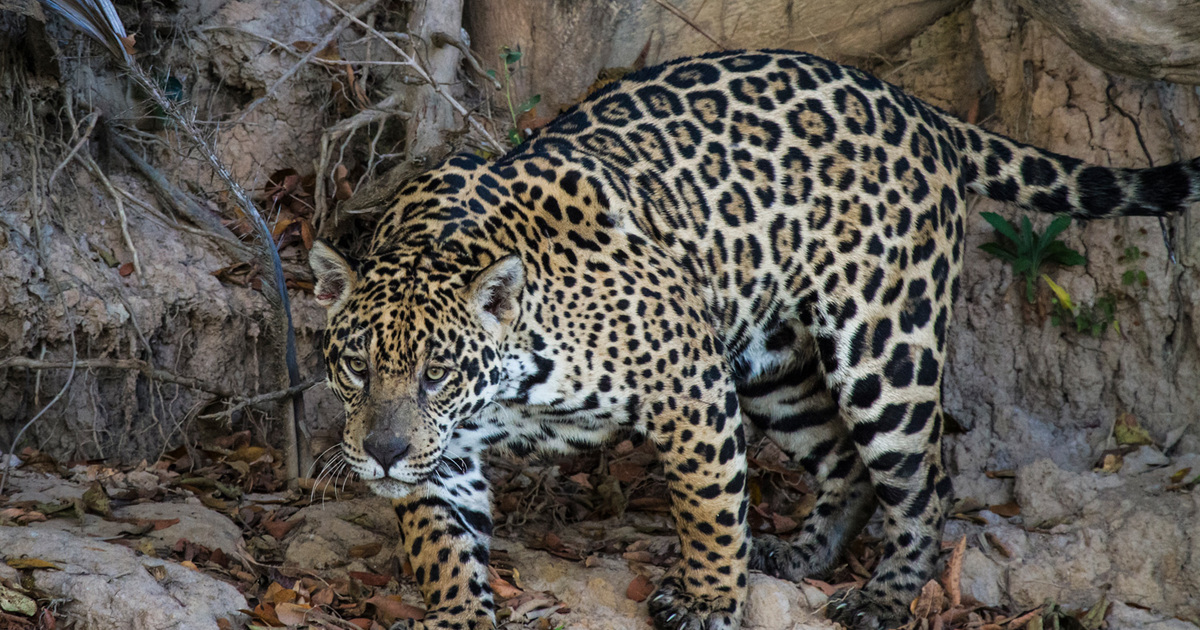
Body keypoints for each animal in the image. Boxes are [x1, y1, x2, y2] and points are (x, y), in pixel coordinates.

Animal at [309, 49, 1199, 630]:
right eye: (356, 365)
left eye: (438, 372)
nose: (380, 453)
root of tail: (920, 109)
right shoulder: (444, 455)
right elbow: (439, 538)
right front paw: (458, 611)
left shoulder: (689, 389)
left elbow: (708, 507)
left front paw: (707, 598)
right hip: (773, 368)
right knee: (844, 466)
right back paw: (801, 557)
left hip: (883, 348)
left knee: (921, 480)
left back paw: (886, 594)